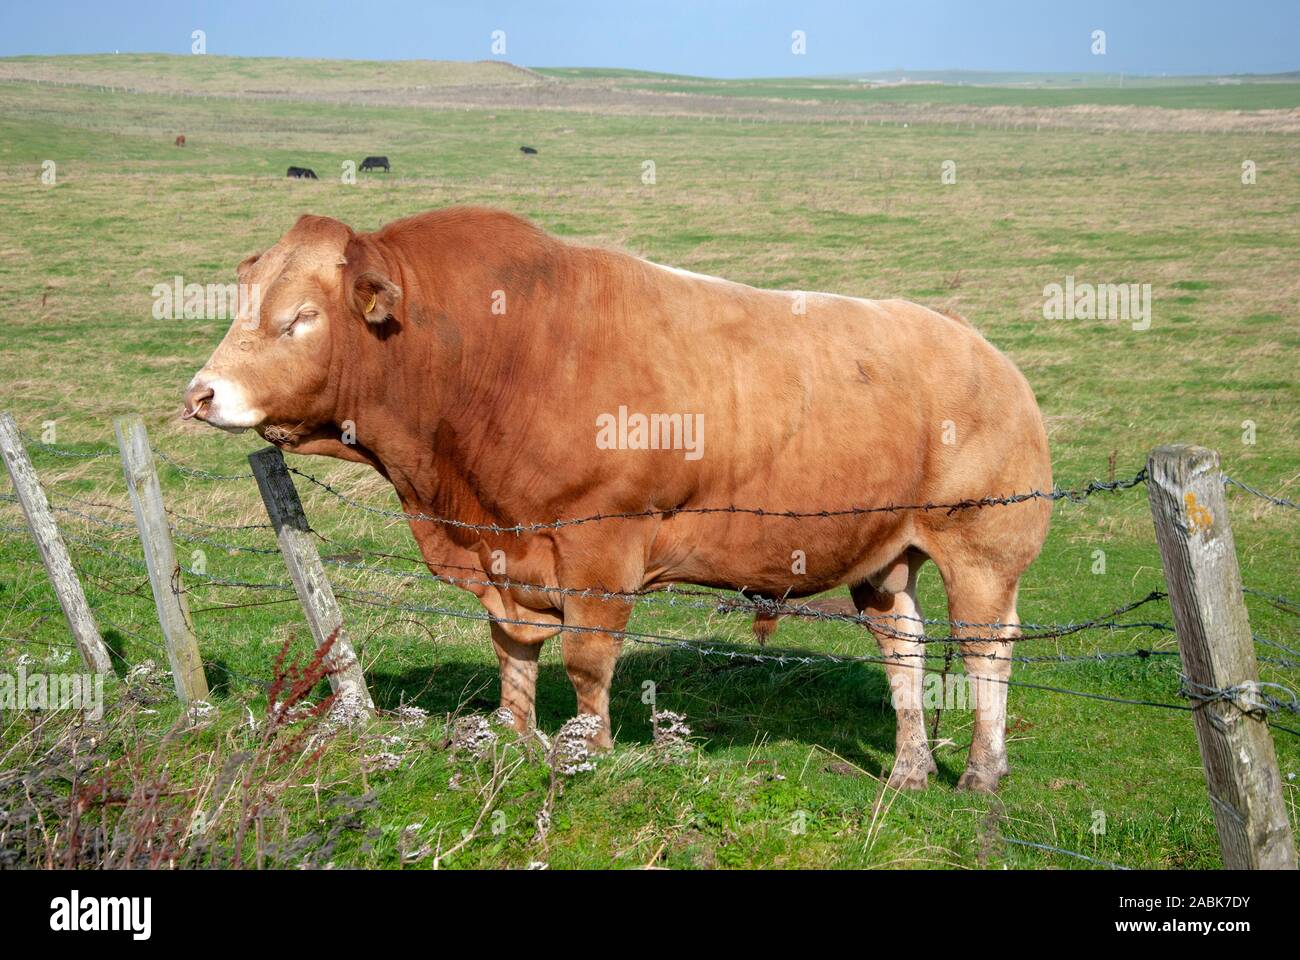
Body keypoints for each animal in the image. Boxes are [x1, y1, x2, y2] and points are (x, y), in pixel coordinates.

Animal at [182, 207, 1052, 793]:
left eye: (301, 318)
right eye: (245, 301)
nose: (201, 393)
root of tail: (976, 345)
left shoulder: (598, 540)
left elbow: (588, 656)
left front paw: (588, 753)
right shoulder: (507, 556)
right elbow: (514, 652)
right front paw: (515, 738)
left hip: (982, 549)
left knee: (985, 650)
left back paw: (981, 772)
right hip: (885, 554)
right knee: (904, 647)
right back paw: (908, 770)